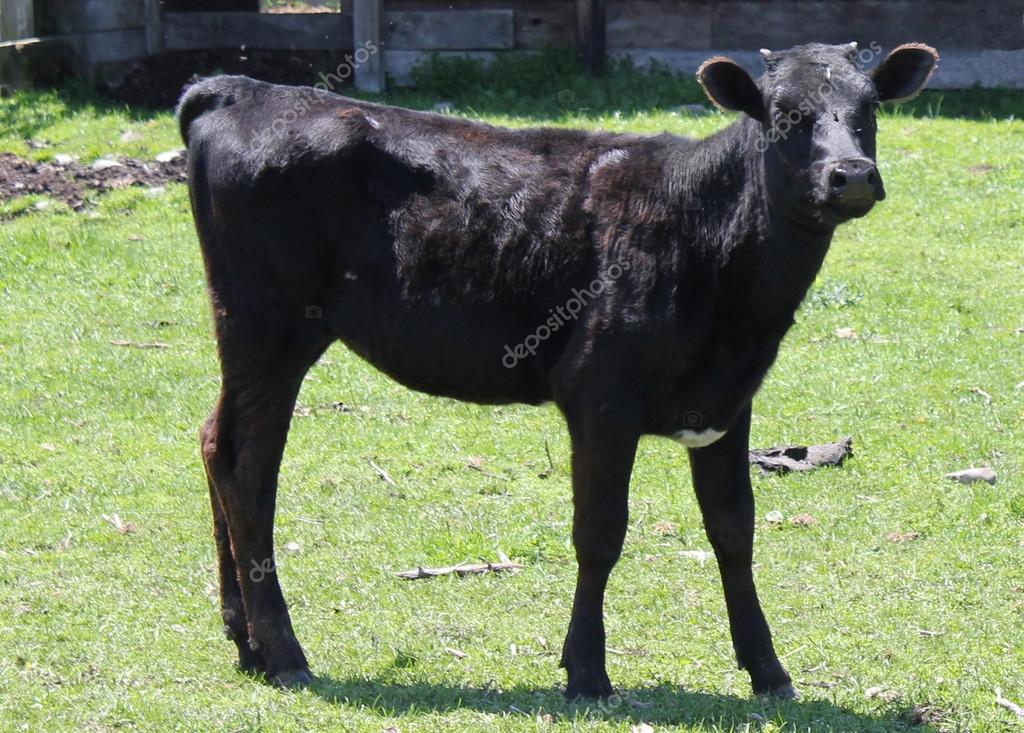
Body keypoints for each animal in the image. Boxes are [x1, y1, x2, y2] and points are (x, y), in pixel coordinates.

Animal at [178, 42, 938, 699]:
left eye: (869, 107)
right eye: (784, 115)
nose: (852, 175)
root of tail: (244, 88)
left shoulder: (728, 402)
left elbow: (734, 530)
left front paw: (767, 668)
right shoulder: (600, 396)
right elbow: (599, 533)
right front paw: (588, 672)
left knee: (217, 442)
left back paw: (246, 644)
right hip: (268, 324)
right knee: (249, 468)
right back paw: (285, 654)